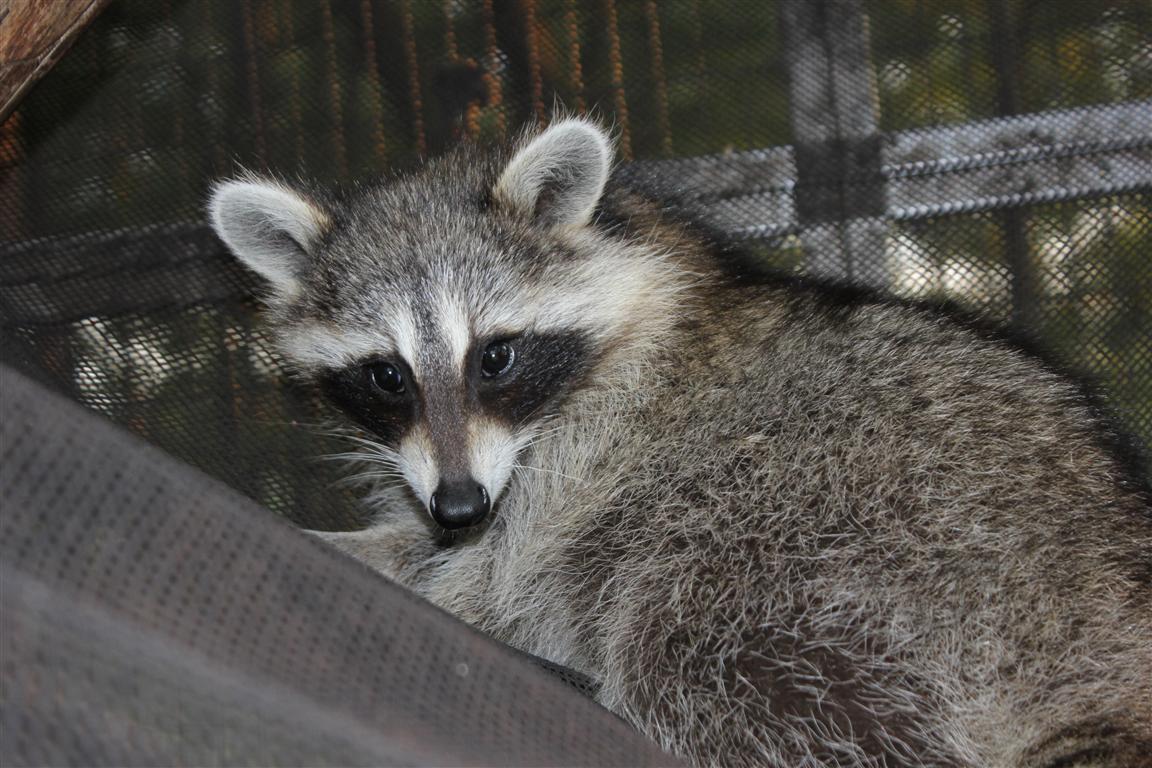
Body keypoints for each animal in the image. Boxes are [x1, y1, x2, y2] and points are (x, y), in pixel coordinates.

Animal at [209, 119, 1152, 768]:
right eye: (386, 376)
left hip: (844, 545)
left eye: (495, 356)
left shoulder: (580, 462)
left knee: (692, 652)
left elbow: (482, 579)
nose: (459, 506)